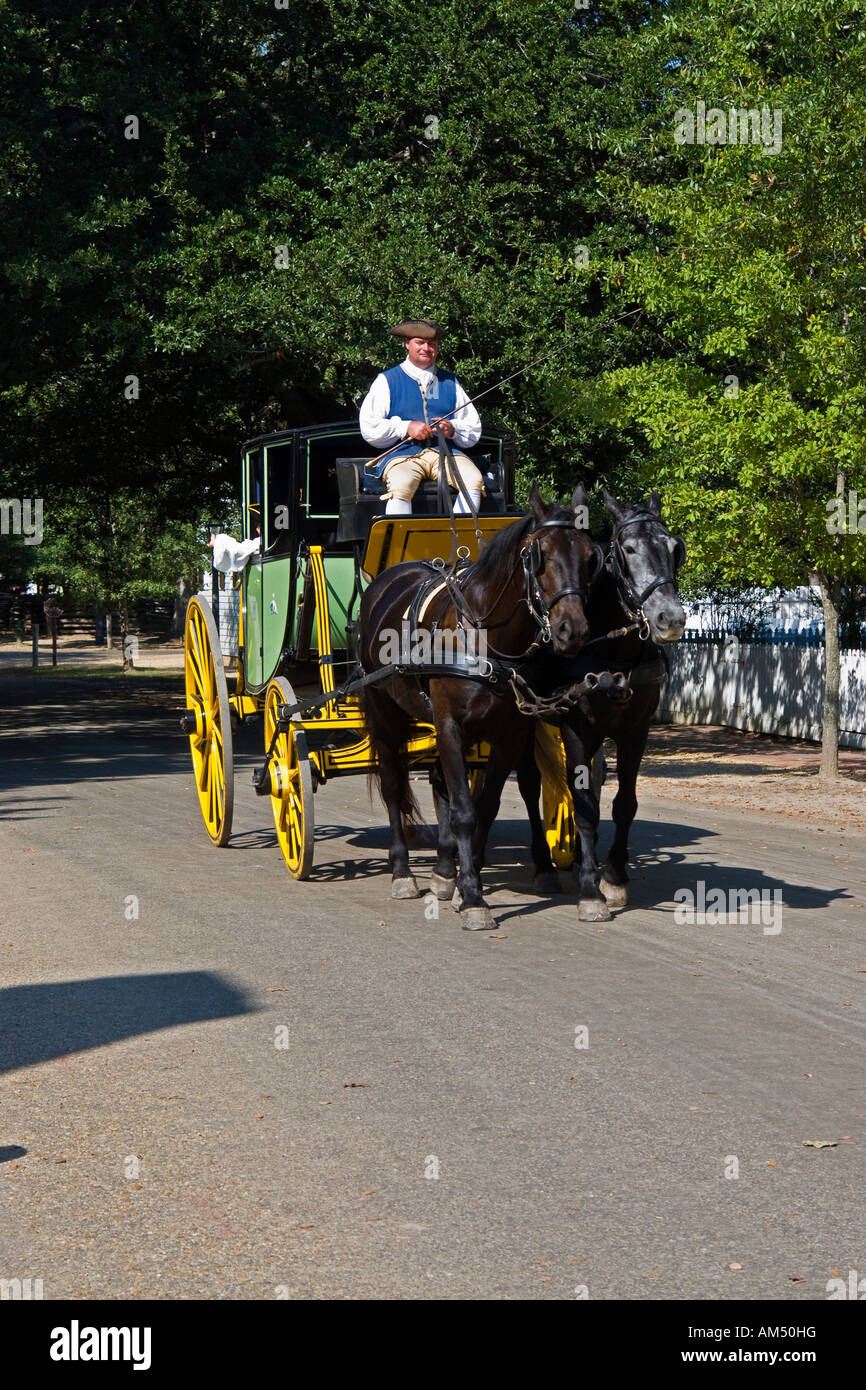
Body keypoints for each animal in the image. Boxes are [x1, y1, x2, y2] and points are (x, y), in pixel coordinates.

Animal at [359, 483, 603, 930]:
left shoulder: (509, 734)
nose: (572, 630)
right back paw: (402, 872)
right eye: (540, 555)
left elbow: (485, 806)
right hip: (384, 711)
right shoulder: (450, 727)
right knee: (392, 785)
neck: (485, 640)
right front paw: (473, 897)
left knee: (440, 783)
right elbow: (464, 811)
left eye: (591, 558)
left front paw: (461, 884)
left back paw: (443, 871)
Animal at [517, 488, 687, 920]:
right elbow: (584, 808)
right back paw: (544, 866)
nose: (670, 618)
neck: (613, 651)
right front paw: (591, 891)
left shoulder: (636, 732)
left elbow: (623, 803)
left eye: (674, 548)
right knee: (529, 785)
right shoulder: (578, 731)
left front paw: (613, 876)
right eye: (627, 549)